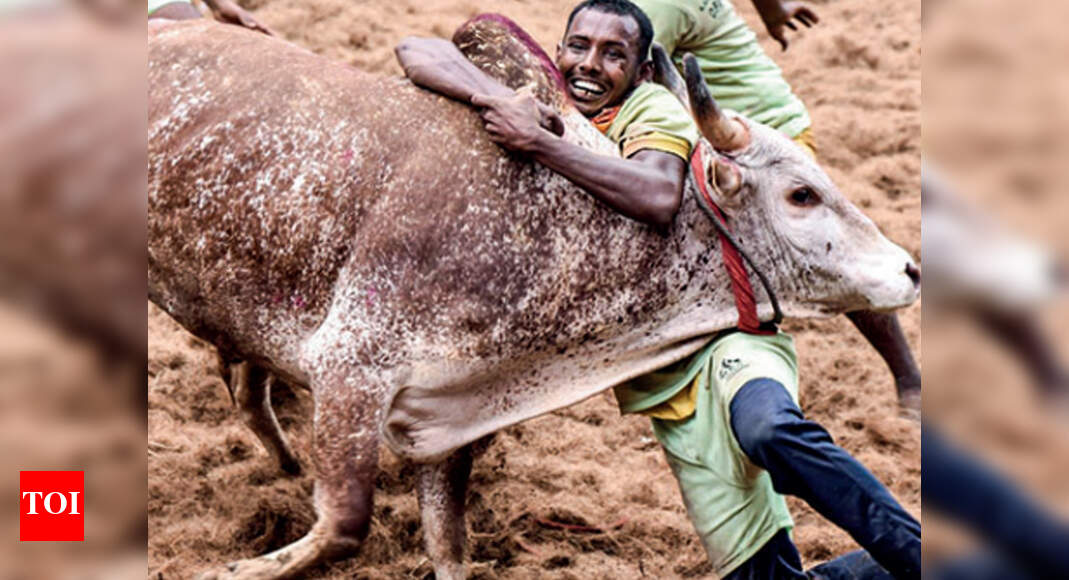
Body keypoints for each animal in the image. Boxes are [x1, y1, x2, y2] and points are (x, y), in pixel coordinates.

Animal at [148, 17, 919, 579]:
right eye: (801, 194)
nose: (909, 269)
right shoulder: (351, 367)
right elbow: (344, 525)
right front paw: (239, 568)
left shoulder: (443, 419)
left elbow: (447, 548)